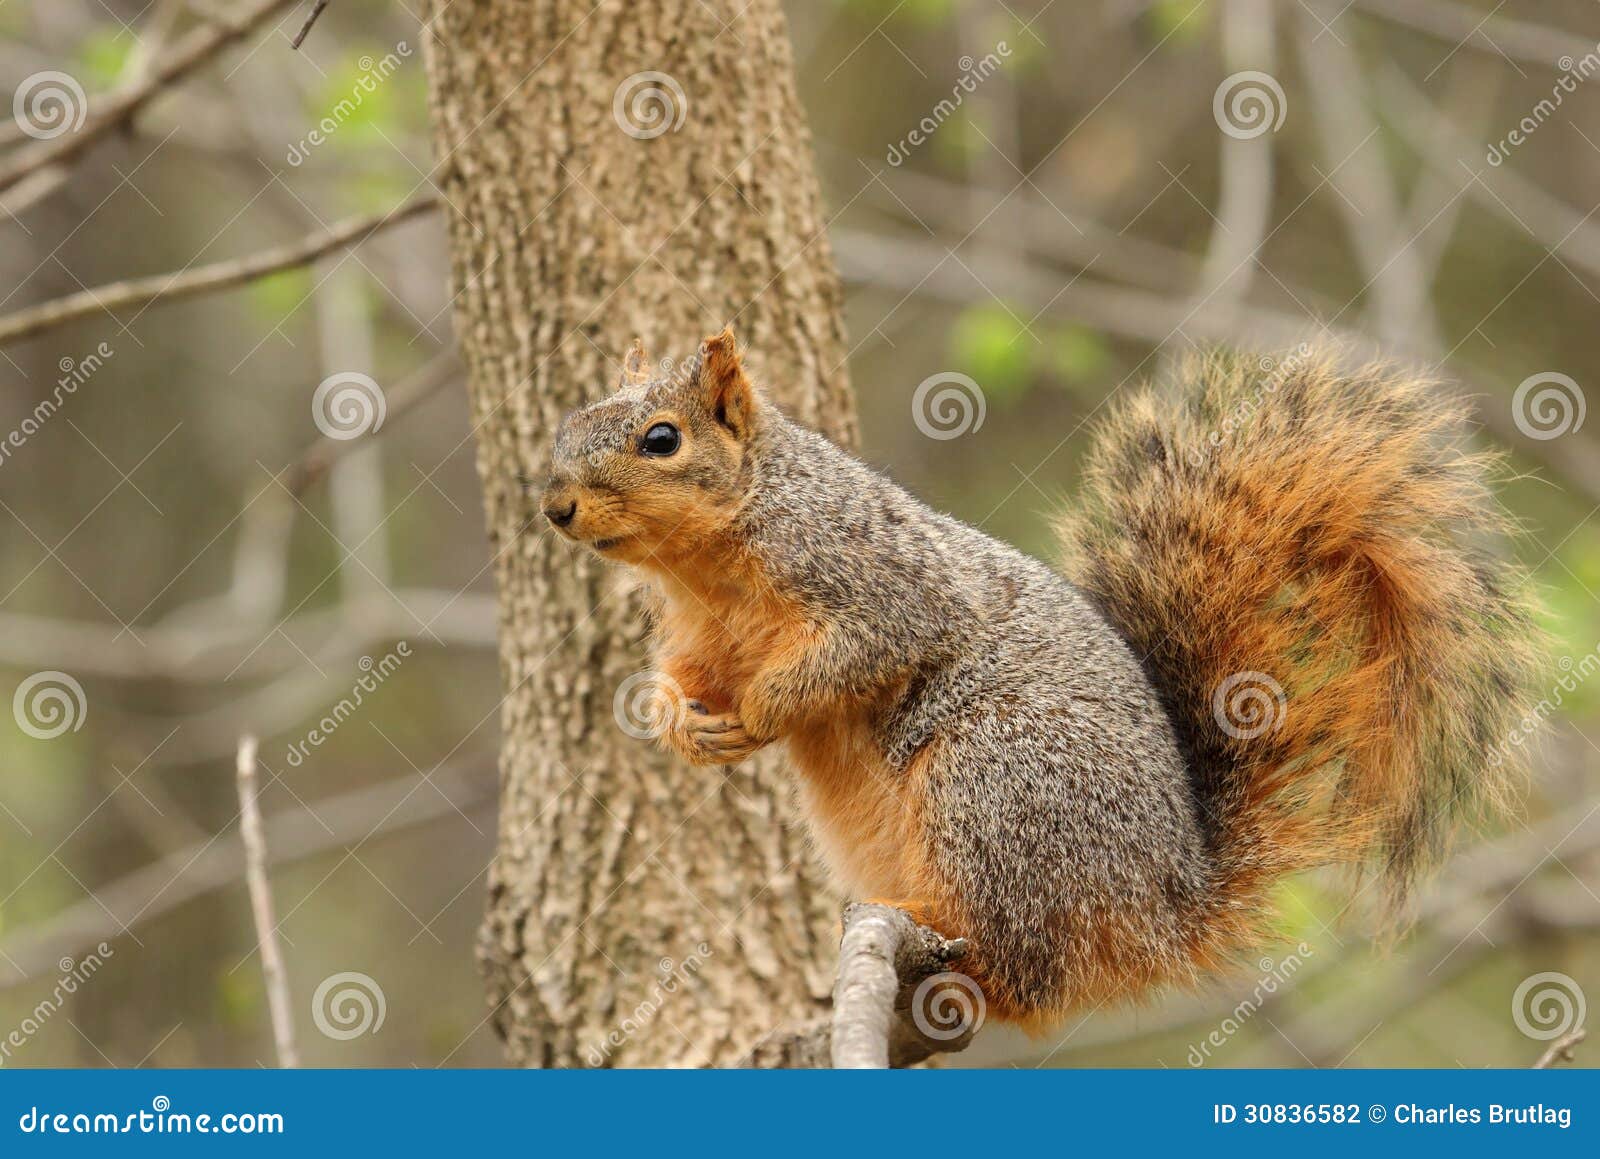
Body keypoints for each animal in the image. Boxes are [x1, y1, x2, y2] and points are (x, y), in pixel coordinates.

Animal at [537, 326, 1544, 1028]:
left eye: (660, 438)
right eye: (565, 423)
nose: (554, 507)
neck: (709, 562)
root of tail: (1168, 901)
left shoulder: (881, 589)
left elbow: (864, 652)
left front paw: (762, 707)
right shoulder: (699, 634)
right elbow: (678, 677)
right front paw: (683, 724)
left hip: (993, 775)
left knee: (1031, 973)